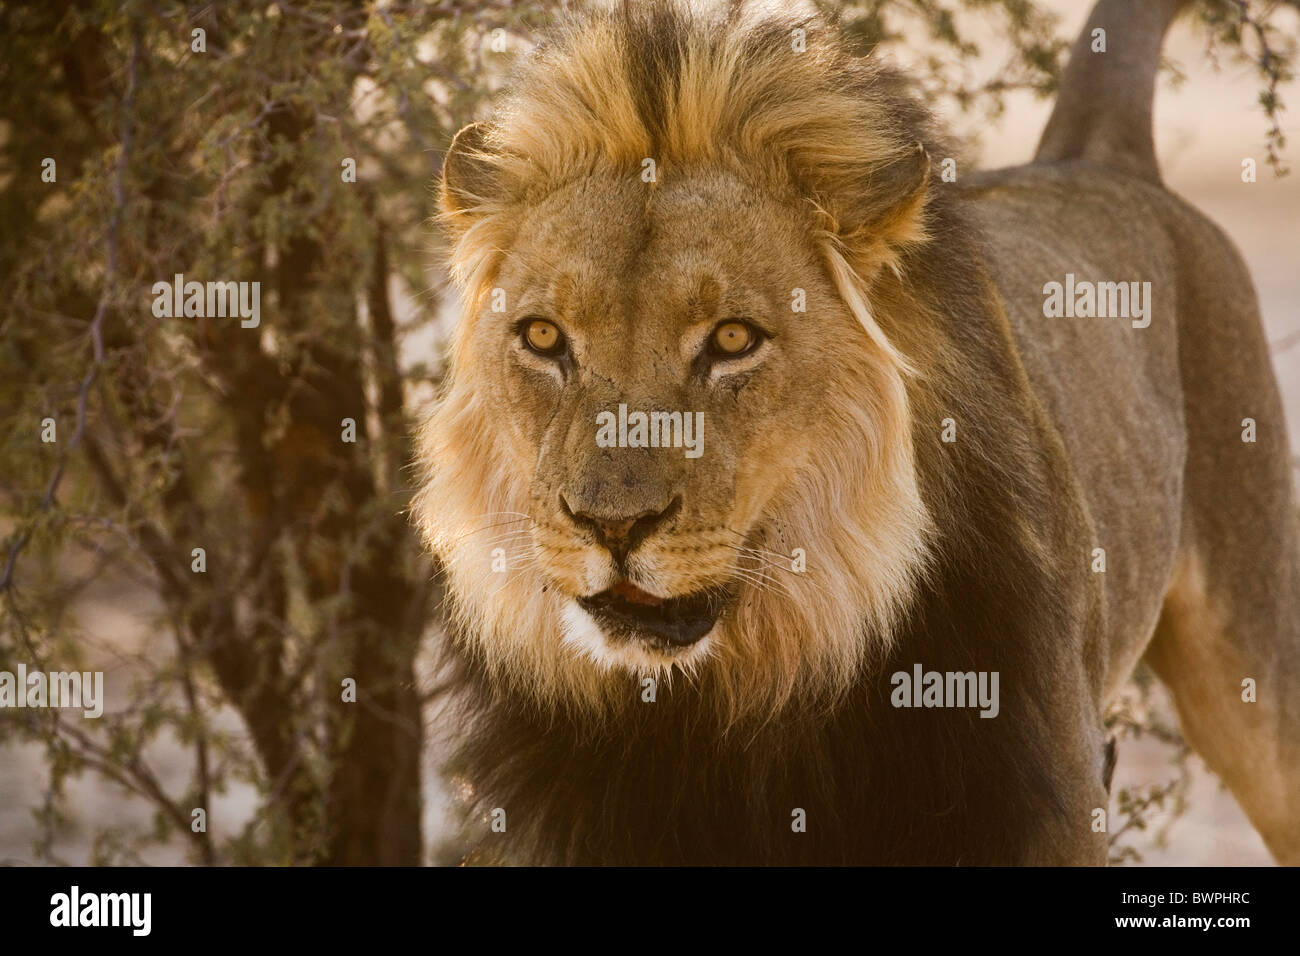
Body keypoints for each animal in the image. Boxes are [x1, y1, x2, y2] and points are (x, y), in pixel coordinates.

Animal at [414, 0, 1300, 865]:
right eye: (543, 338)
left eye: (732, 339)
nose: (612, 525)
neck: (743, 702)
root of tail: (1099, 162)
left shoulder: (1045, 807)